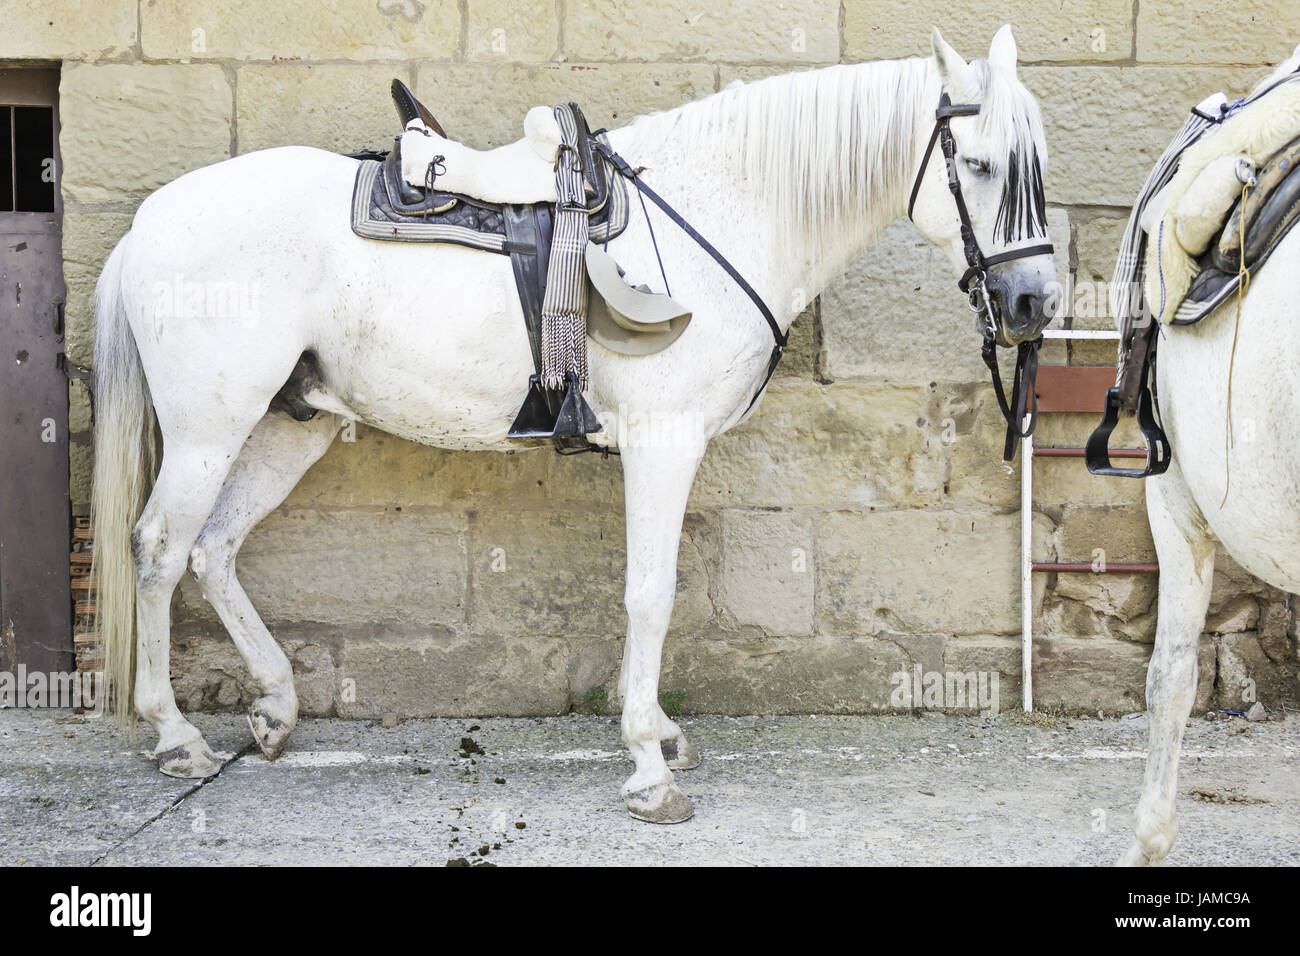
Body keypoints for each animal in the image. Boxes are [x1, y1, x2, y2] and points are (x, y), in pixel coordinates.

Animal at [90, 25, 1057, 824]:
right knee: (159, 549)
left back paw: (275, 705)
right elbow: (651, 594)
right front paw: (648, 767)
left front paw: (659, 733)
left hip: (290, 422)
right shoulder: (664, 444)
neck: (728, 208)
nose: (1033, 303)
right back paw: (175, 736)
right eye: (978, 166)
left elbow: (652, 592)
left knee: (215, 548)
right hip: (209, 428)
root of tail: (148, 223)